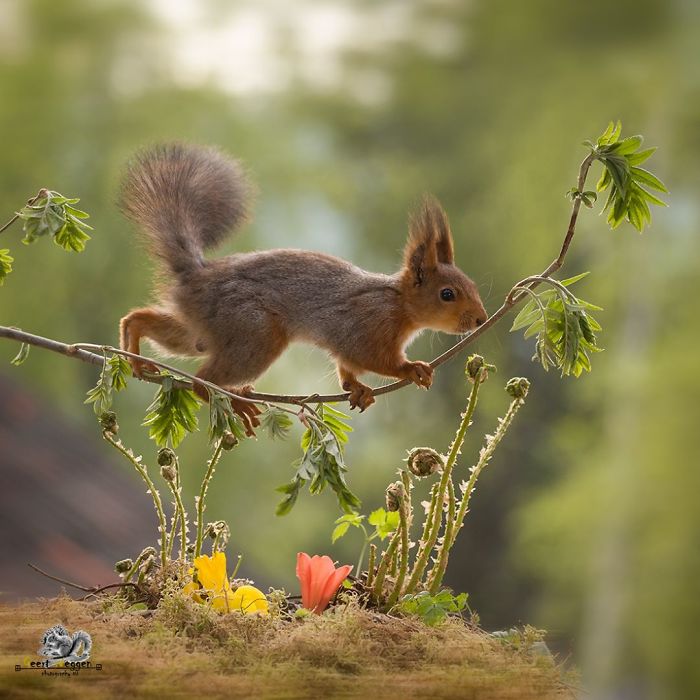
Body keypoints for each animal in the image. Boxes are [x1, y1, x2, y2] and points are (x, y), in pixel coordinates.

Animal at [118, 143, 487, 436]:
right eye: (447, 294)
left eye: (472, 285)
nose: (481, 320)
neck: (398, 304)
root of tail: (197, 274)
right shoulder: (367, 327)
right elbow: (372, 358)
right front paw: (410, 369)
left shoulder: (348, 343)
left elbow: (347, 367)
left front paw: (356, 389)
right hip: (254, 333)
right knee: (200, 380)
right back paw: (233, 402)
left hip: (201, 332)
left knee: (145, 322)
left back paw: (133, 352)